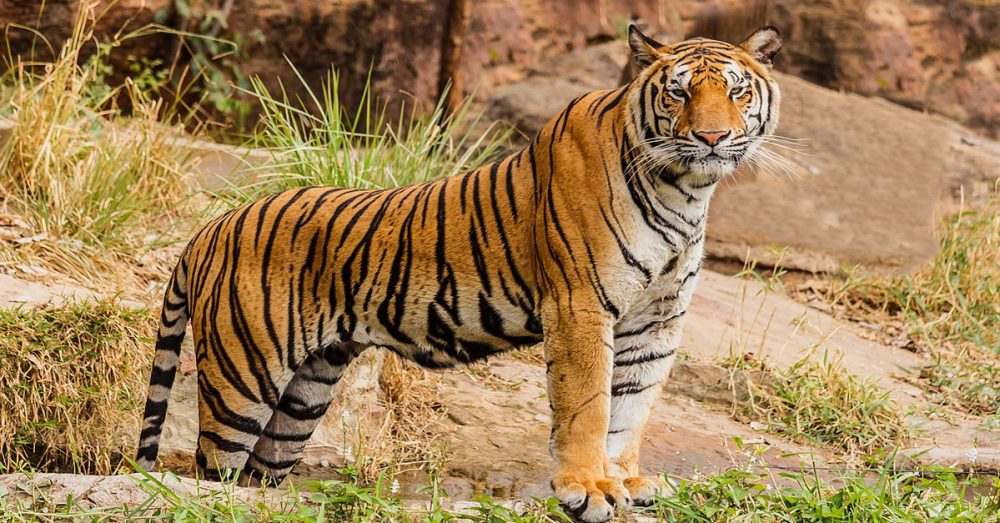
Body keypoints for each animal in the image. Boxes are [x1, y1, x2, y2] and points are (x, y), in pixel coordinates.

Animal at [135, 25, 781, 522]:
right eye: (678, 93)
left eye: (736, 90)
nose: (712, 136)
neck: (686, 189)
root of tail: (210, 227)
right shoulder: (580, 304)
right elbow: (589, 405)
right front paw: (588, 489)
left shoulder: (657, 320)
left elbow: (631, 407)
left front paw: (623, 481)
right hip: (242, 378)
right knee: (210, 471)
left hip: (303, 396)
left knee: (255, 478)